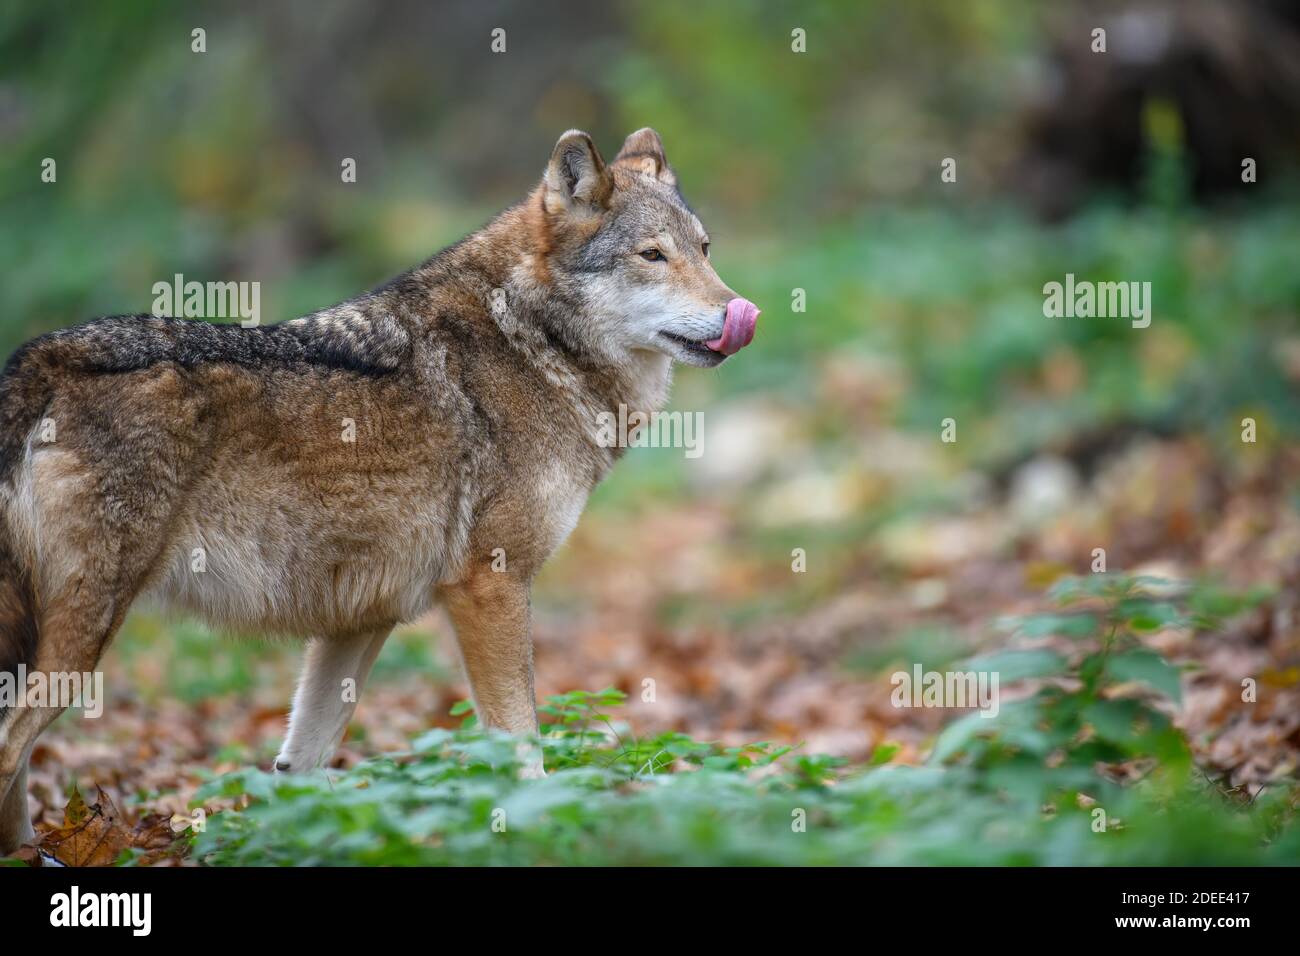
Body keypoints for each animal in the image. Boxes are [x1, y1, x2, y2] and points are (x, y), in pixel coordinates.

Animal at [0, 128, 759, 853]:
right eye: (652, 255)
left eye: (704, 249)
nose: (739, 314)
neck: (531, 340)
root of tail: (39, 359)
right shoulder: (490, 587)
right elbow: (523, 749)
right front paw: (538, 829)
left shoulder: (358, 621)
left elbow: (298, 770)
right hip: (83, 636)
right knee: (12, 749)